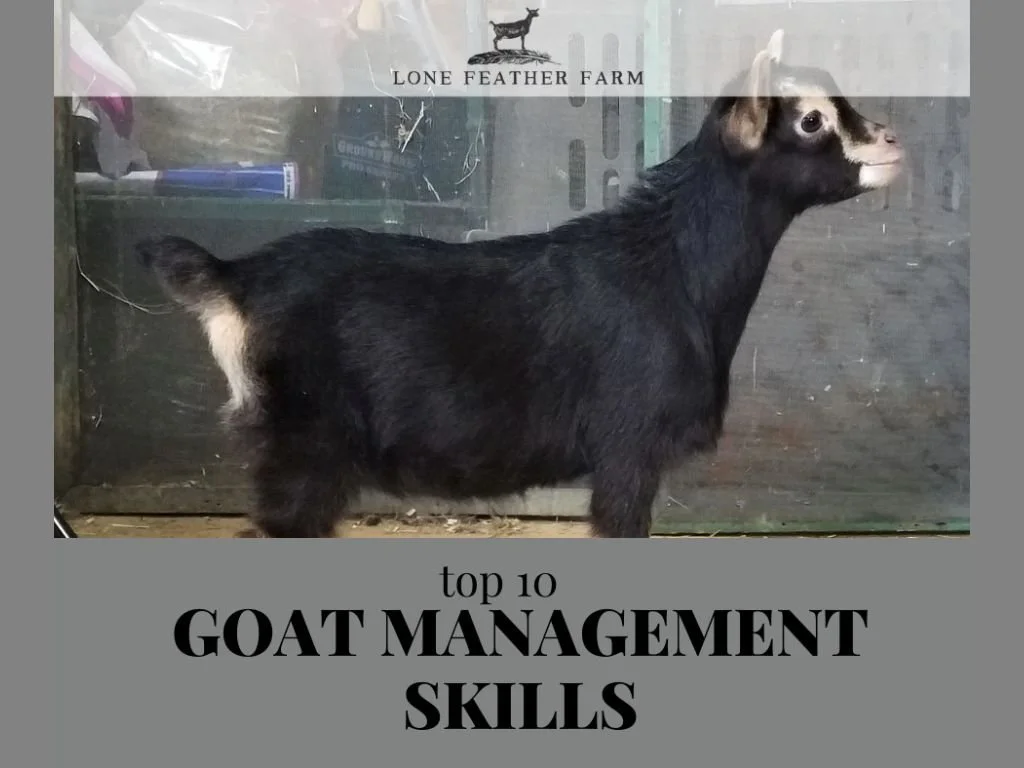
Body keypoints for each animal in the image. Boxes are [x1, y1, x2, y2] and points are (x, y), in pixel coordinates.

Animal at [137, 29, 905, 538]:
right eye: (811, 121)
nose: (893, 141)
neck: (674, 269)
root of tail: (234, 276)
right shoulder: (628, 449)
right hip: (305, 446)